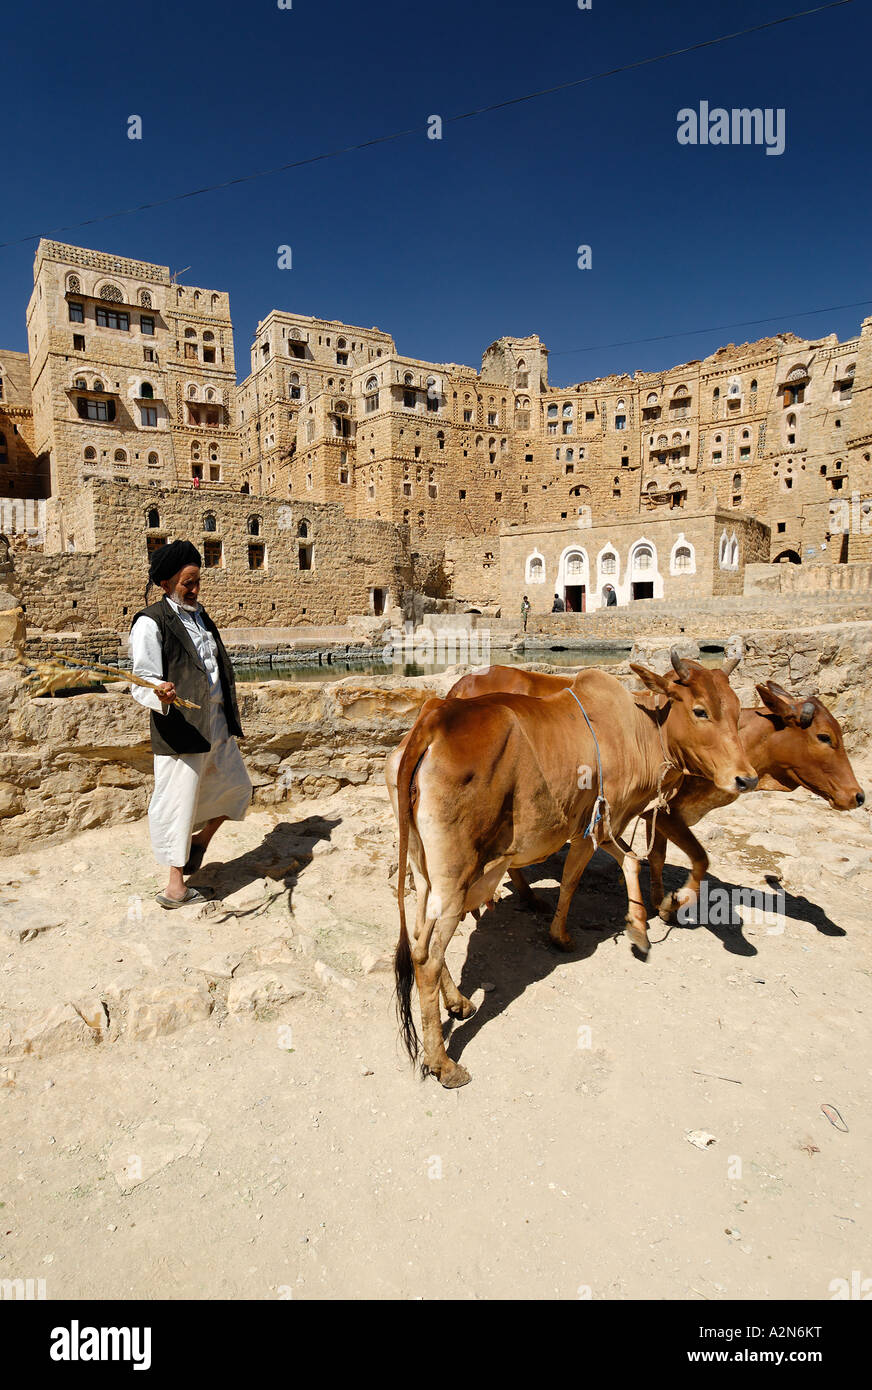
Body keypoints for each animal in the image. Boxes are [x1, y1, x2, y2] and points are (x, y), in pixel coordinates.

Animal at [391, 653, 757, 1087]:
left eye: (736, 710)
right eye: (700, 710)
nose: (746, 778)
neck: (640, 728)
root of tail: (433, 720)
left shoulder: (605, 825)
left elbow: (630, 860)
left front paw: (640, 926)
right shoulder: (593, 826)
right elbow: (571, 881)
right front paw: (563, 936)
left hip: (426, 870)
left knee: (419, 939)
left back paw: (459, 1002)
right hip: (456, 876)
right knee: (426, 959)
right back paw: (443, 1063)